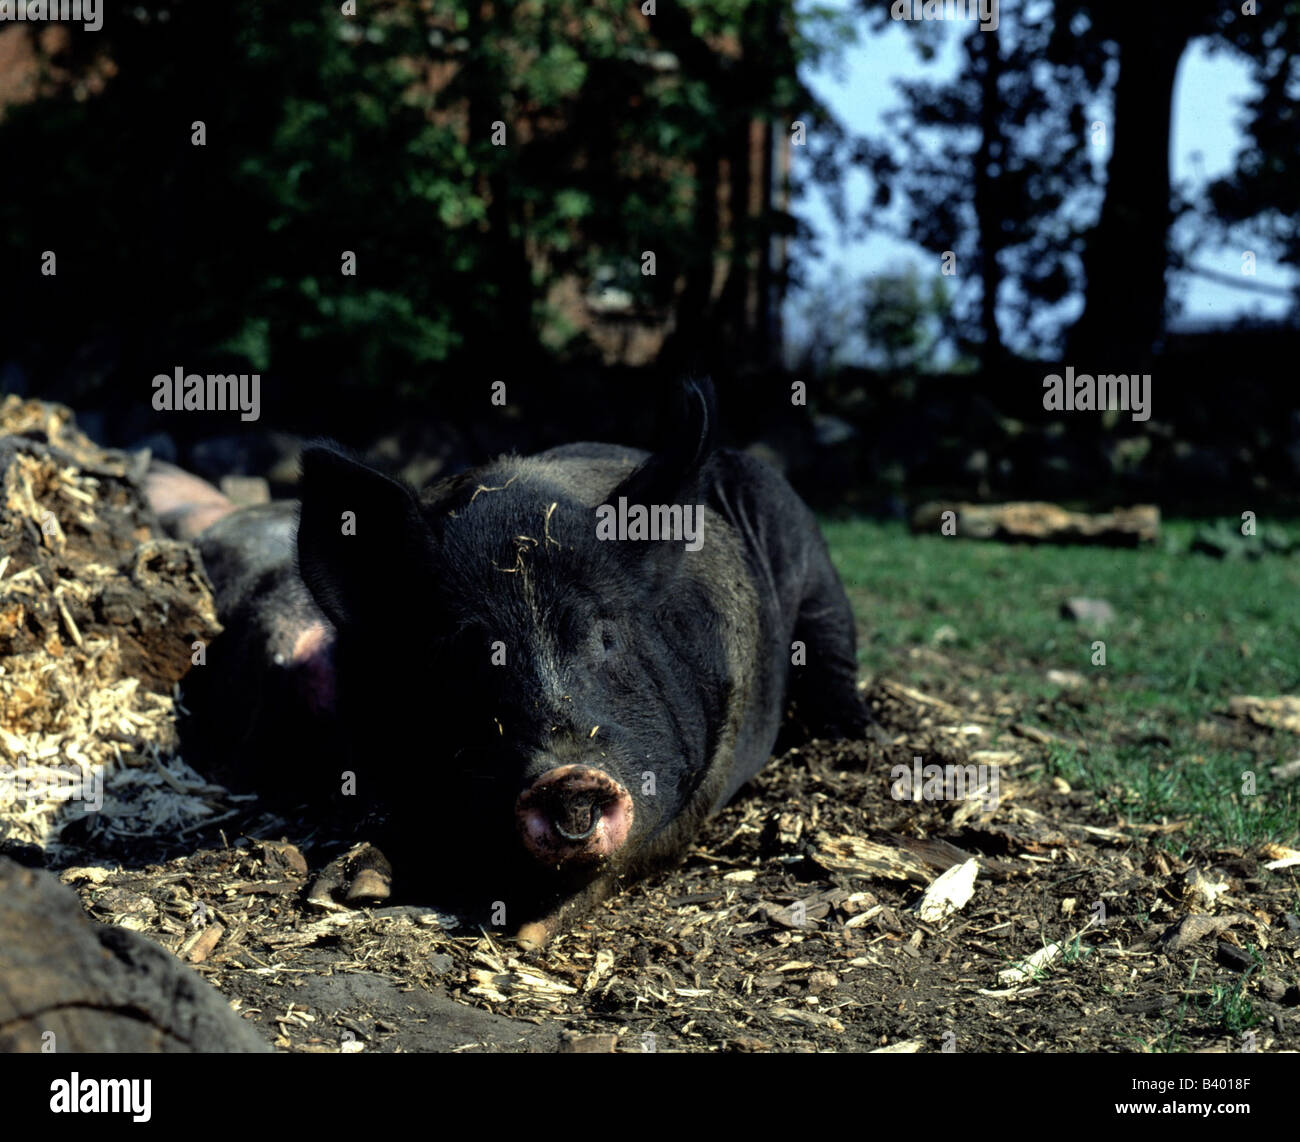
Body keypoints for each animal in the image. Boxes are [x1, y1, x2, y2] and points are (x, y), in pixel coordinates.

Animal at [295, 379, 866, 946]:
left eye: (607, 636)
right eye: (458, 653)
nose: (568, 775)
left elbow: (634, 858)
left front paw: (529, 934)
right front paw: (346, 889)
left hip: (817, 576)